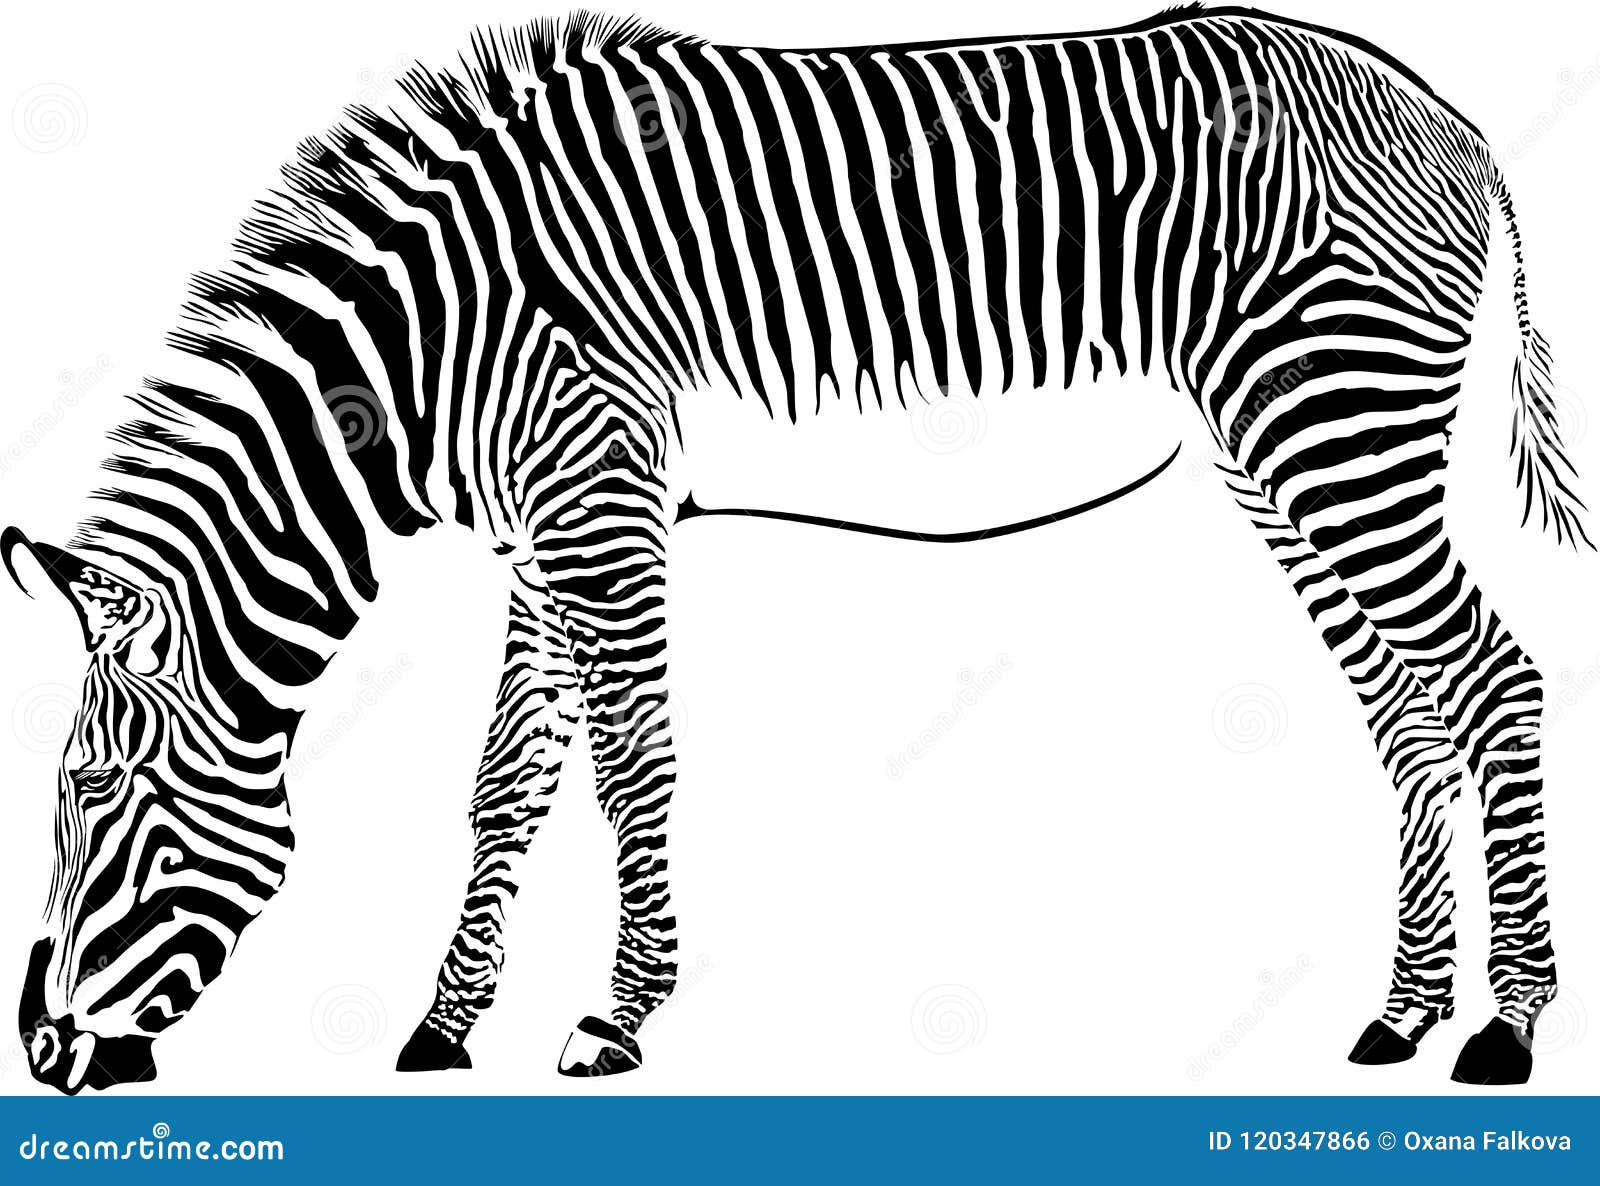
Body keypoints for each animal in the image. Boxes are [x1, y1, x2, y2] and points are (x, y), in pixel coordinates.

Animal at [3, 6, 1584, 1093]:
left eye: (94, 795)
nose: (48, 1058)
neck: (429, 343)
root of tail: (1447, 115)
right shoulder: (536, 534)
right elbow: (508, 781)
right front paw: (447, 1024)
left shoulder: (599, 489)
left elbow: (632, 758)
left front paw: (616, 1017)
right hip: (1277, 457)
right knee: (1410, 714)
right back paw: (1402, 1012)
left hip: (1338, 426)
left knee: (1493, 676)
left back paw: (1503, 1025)